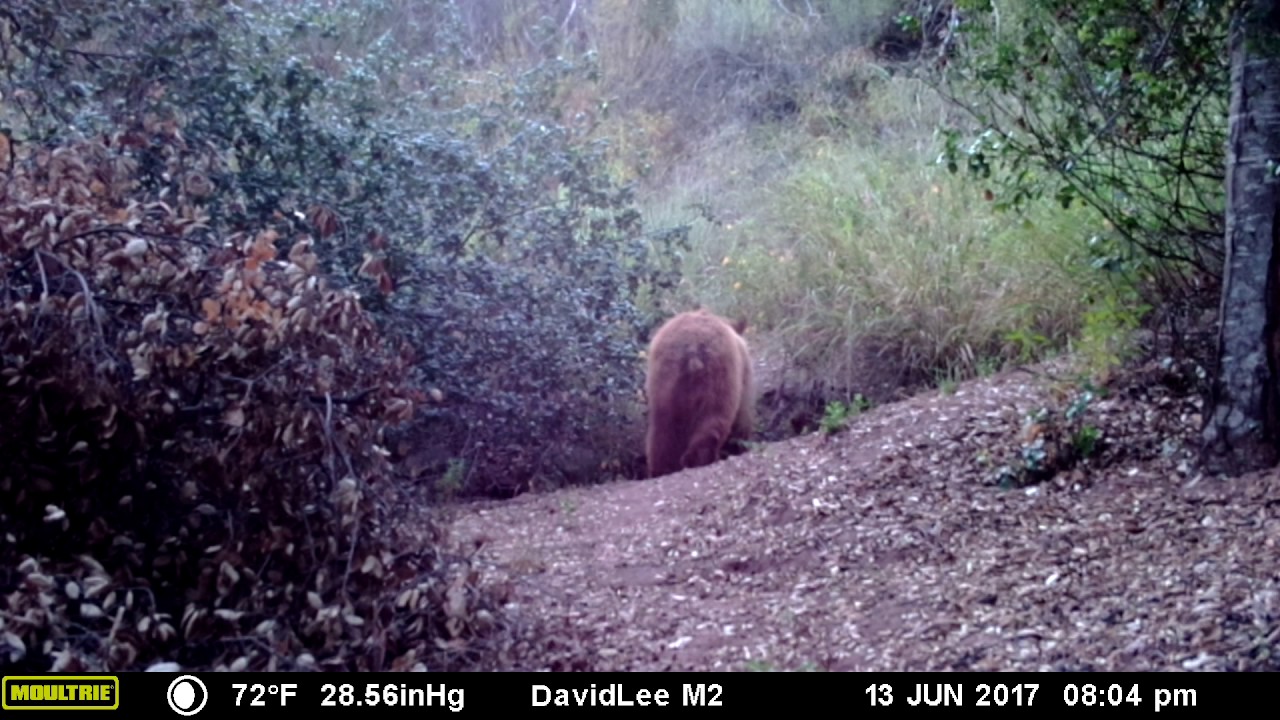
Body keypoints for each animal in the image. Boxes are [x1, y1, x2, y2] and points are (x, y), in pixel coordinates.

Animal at [644, 308, 754, 479]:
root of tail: (692, 348)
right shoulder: (743, 372)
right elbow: (743, 414)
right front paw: (740, 445)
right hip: (719, 377)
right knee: (714, 418)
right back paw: (700, 459)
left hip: (662, 380)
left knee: (662, 428)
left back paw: (661, 469)